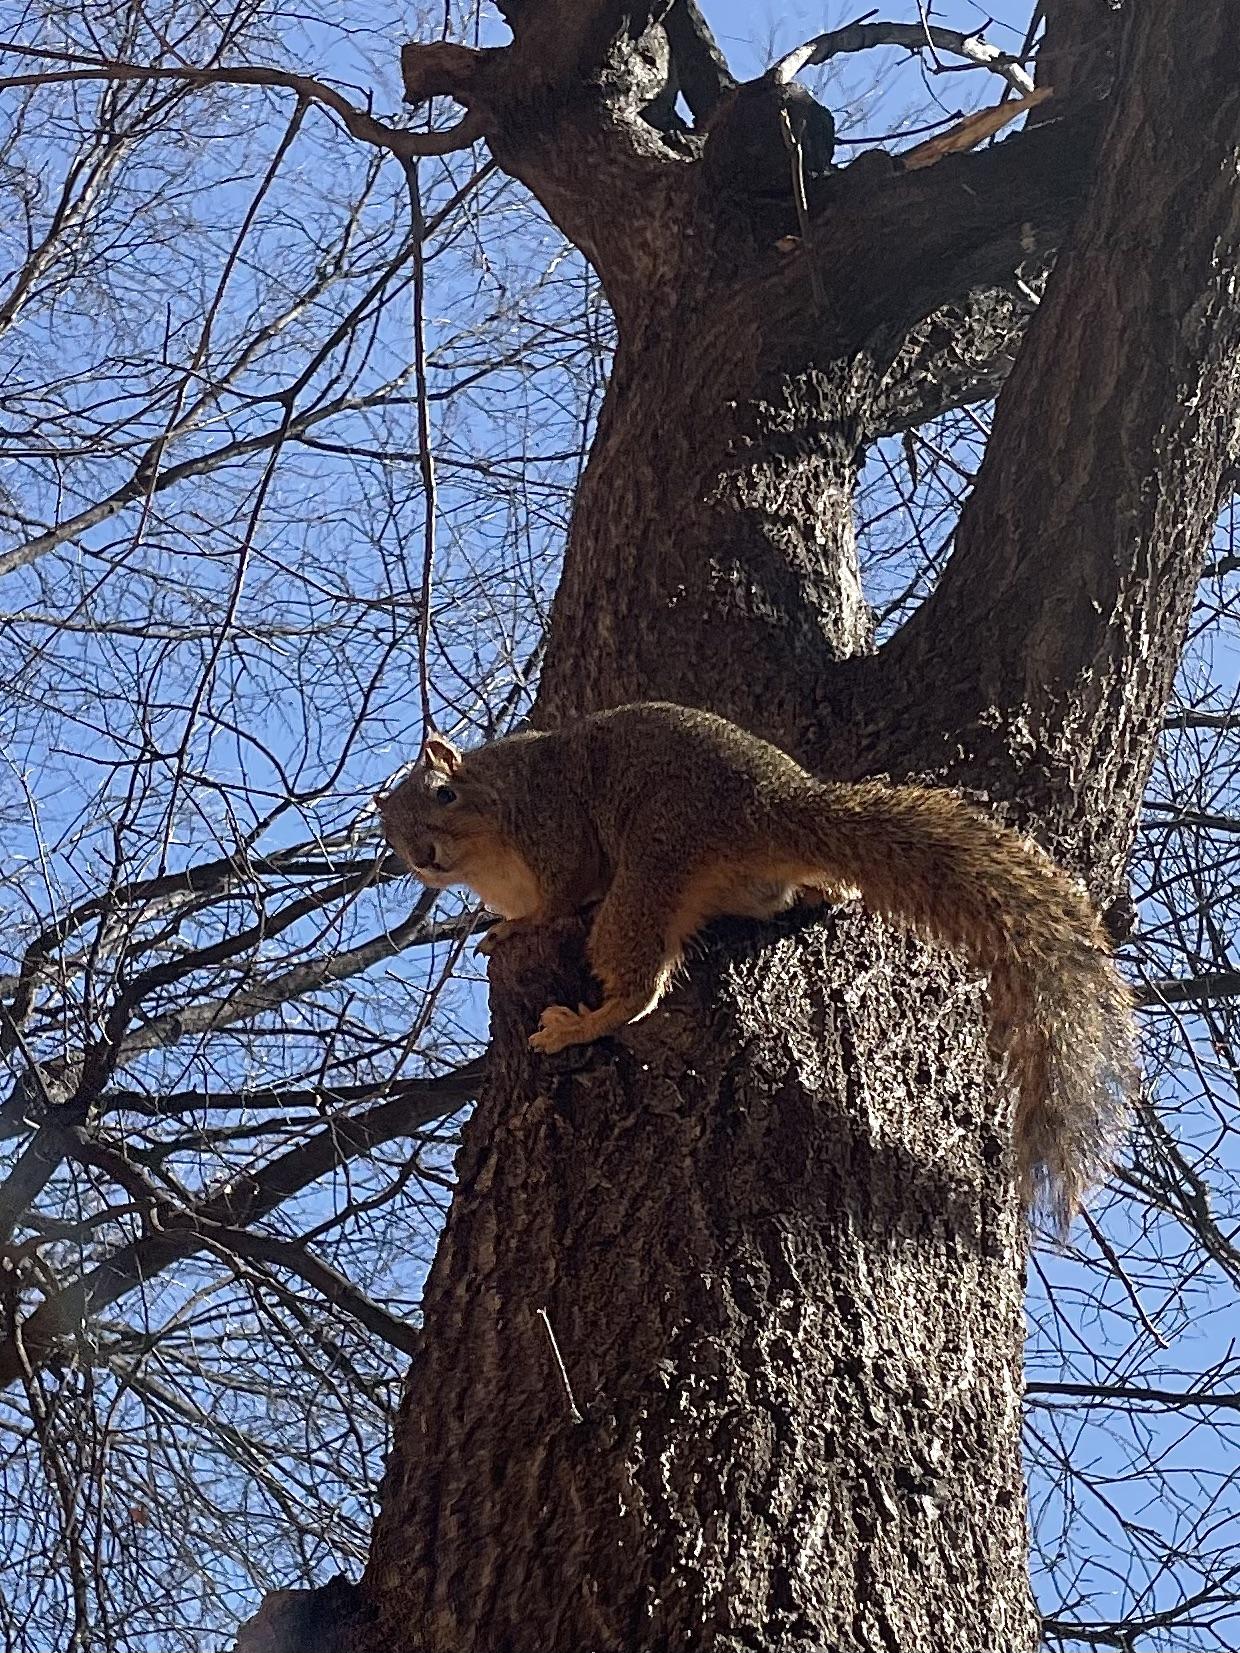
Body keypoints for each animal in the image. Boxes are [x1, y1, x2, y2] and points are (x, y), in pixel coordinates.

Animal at [376, 701, 1135, 1223]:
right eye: (390, 835)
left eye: (443, 793)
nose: (424, 857)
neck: (487, 843)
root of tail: (769, 810)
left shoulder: (552, 826)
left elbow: (560, 895)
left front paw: (516, 928)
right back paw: (829, 887)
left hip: (656, 857)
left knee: (640, 979)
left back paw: (583, 1023)